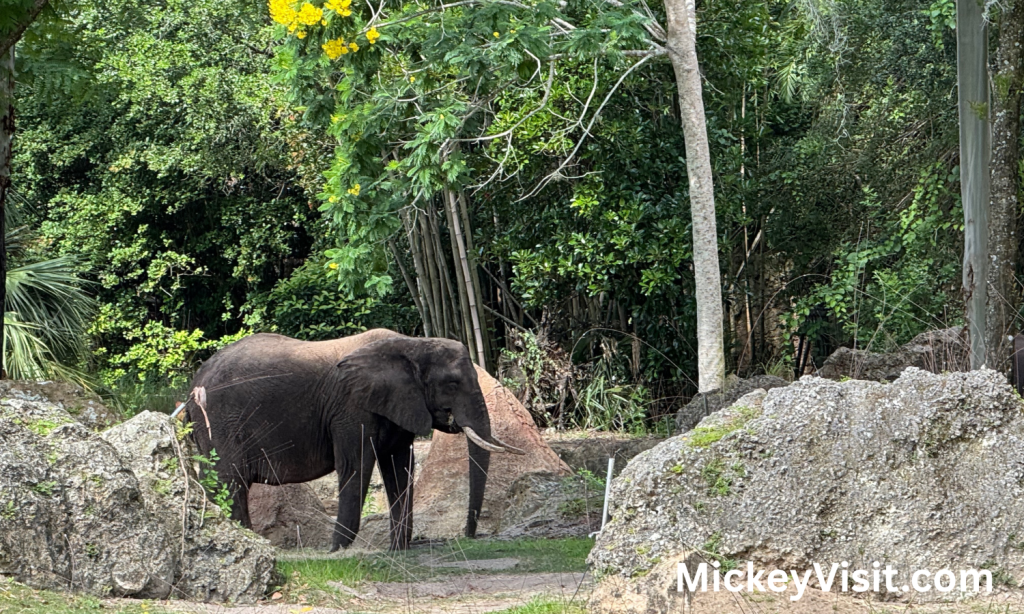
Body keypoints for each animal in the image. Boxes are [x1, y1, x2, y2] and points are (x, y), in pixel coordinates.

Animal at [181, 328, 524, 551]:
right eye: (452, 384)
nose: (468, 535)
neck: (412, 343)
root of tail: (194, 382)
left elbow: (400, 468)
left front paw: (398, 550)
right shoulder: (351, 408)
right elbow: (356, 465)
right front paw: (338, 551)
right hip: (220, 422)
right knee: (230, 481)